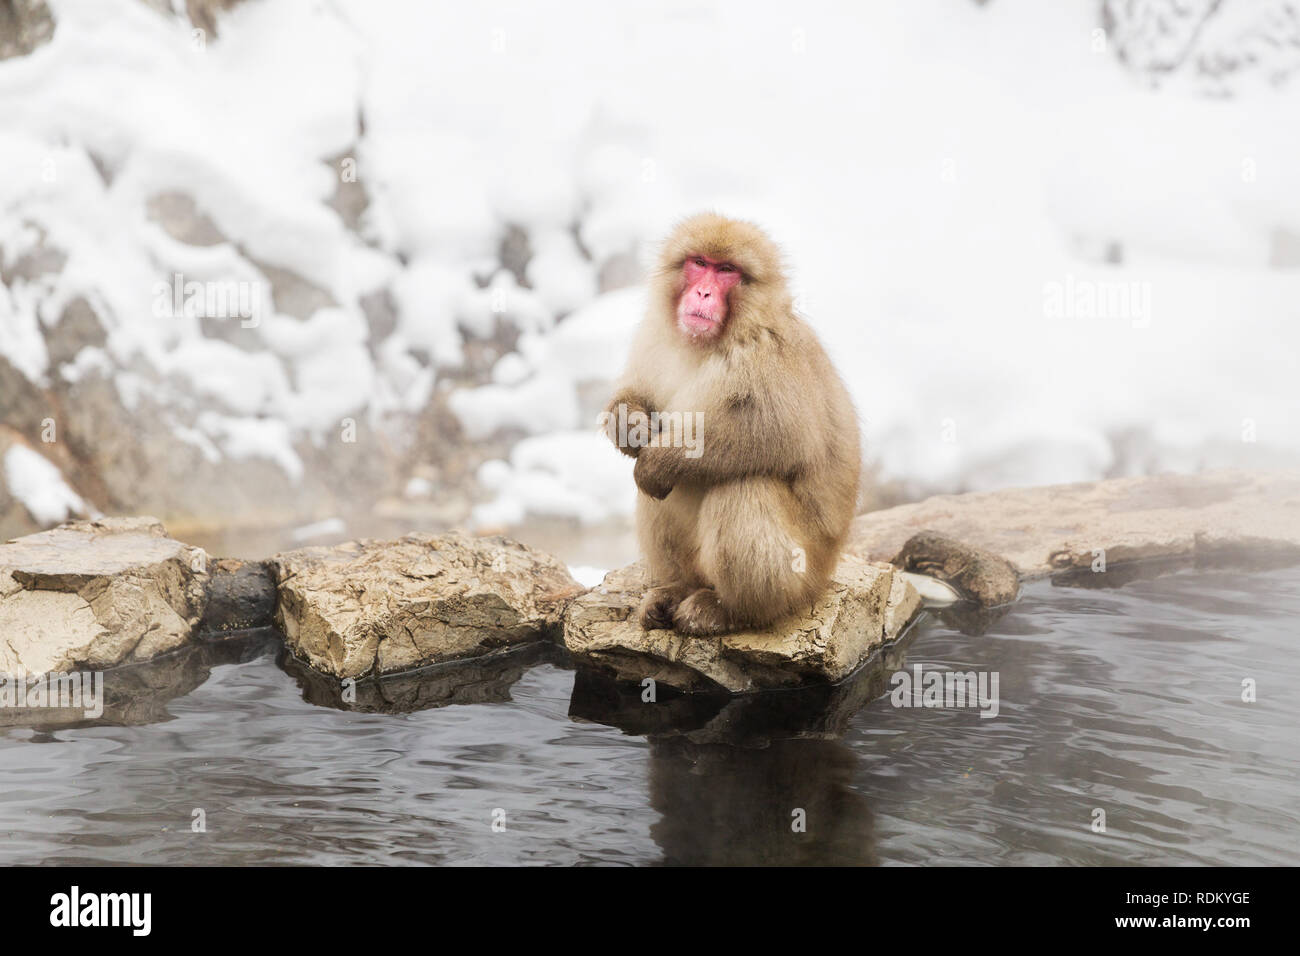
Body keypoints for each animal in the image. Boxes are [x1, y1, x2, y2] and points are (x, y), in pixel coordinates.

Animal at [600, 213, 861, 636]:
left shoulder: (768, 349)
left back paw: (731, 610)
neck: (707, 343)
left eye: (726, 271)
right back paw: (678, 589)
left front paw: (660, 461)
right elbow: (636, 394)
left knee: (743, 485)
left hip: (805, 573)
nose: (704, 292)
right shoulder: (653, 338)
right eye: (699, 263)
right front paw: (631, 425)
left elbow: (780, 433)